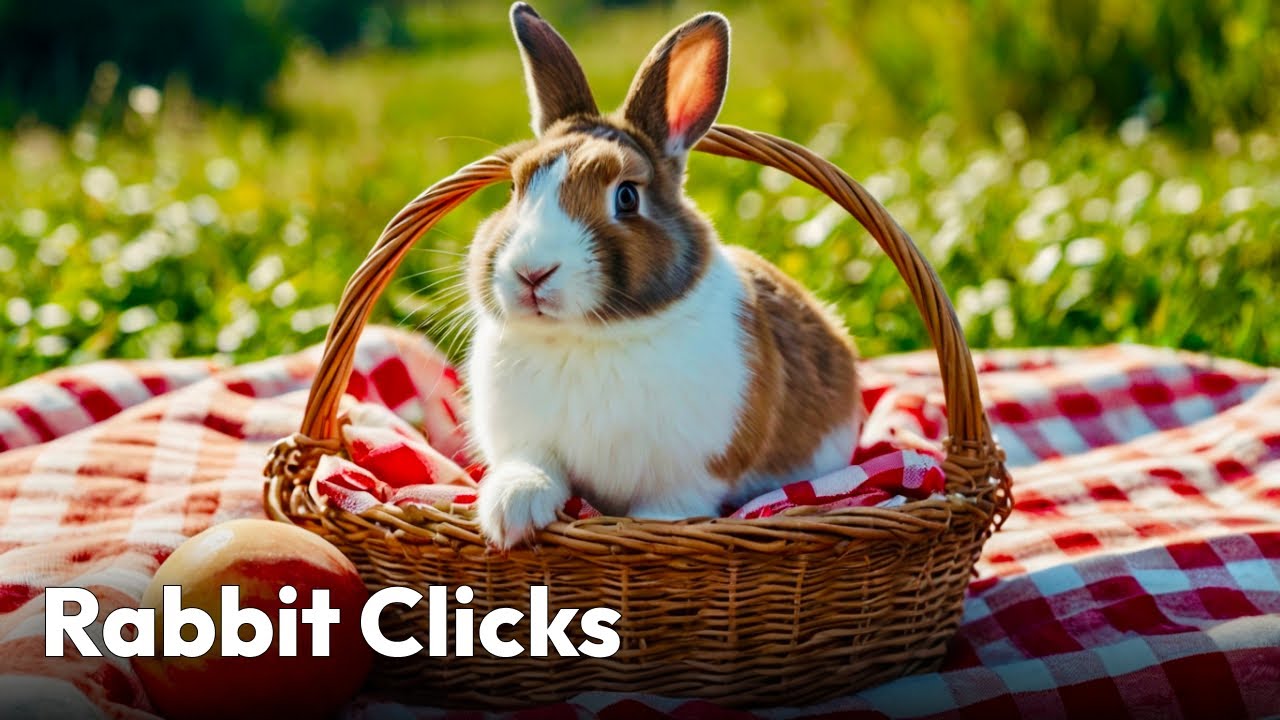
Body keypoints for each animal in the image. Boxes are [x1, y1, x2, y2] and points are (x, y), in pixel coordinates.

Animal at [465, 2, 862, 549]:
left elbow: (665, 511)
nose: (532, 272)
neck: (589, 338)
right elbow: (532, 467)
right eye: (514, 189)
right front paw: (510, 516)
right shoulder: (526, 441)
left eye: (627, 196)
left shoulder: (690, 474)